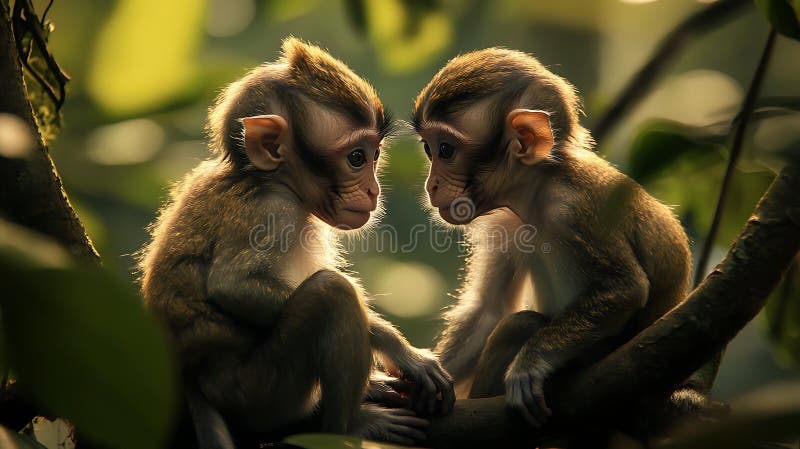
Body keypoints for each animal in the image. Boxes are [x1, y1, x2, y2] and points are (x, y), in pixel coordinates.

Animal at [138, 38, 454, 448]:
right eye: (357, 158)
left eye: (375, 156)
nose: (373, 190)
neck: (265, 178)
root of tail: (191, 379)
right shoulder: (274, 211)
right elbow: (232, 286)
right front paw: (400, 350)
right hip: (260, 395)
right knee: (331, 293)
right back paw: (353, 425)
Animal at [411, 47, 718, 428]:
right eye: (429, 149)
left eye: (446, 150)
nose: (432, 185)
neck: (536, 190)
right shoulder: (503, 221)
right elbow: (489, 310)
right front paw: (419, 376)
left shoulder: (574, 209)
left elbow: (624, 288)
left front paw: (529, 364)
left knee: (520, 324)